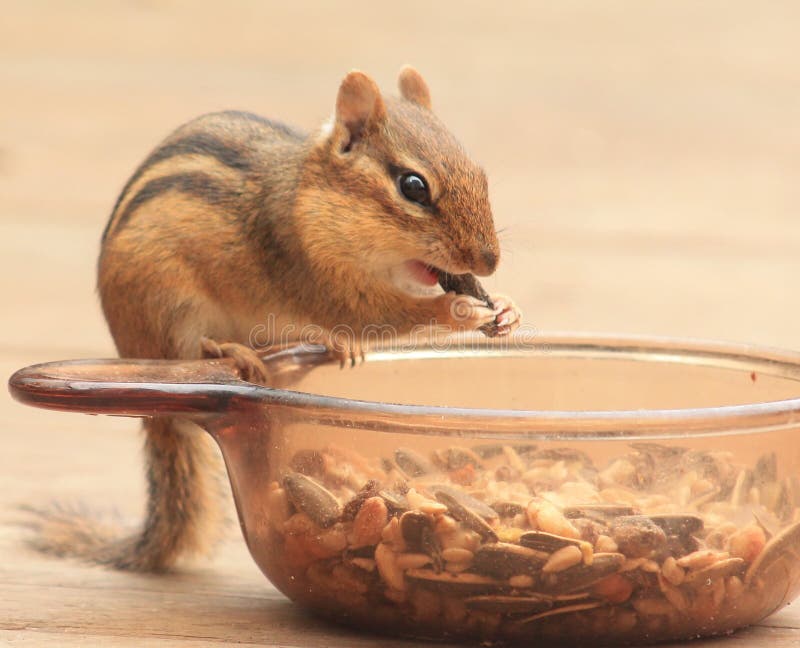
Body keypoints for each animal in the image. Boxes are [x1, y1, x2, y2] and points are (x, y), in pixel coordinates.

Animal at [30, 67, 520, 572]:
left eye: (480, 173)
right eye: (413, 186)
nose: (488, 261)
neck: (314, 198)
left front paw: (504, 306)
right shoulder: (313, 271)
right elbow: (381, 312)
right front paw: (458, 308)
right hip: (166, 303)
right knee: (188, 353)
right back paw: (230, 351)